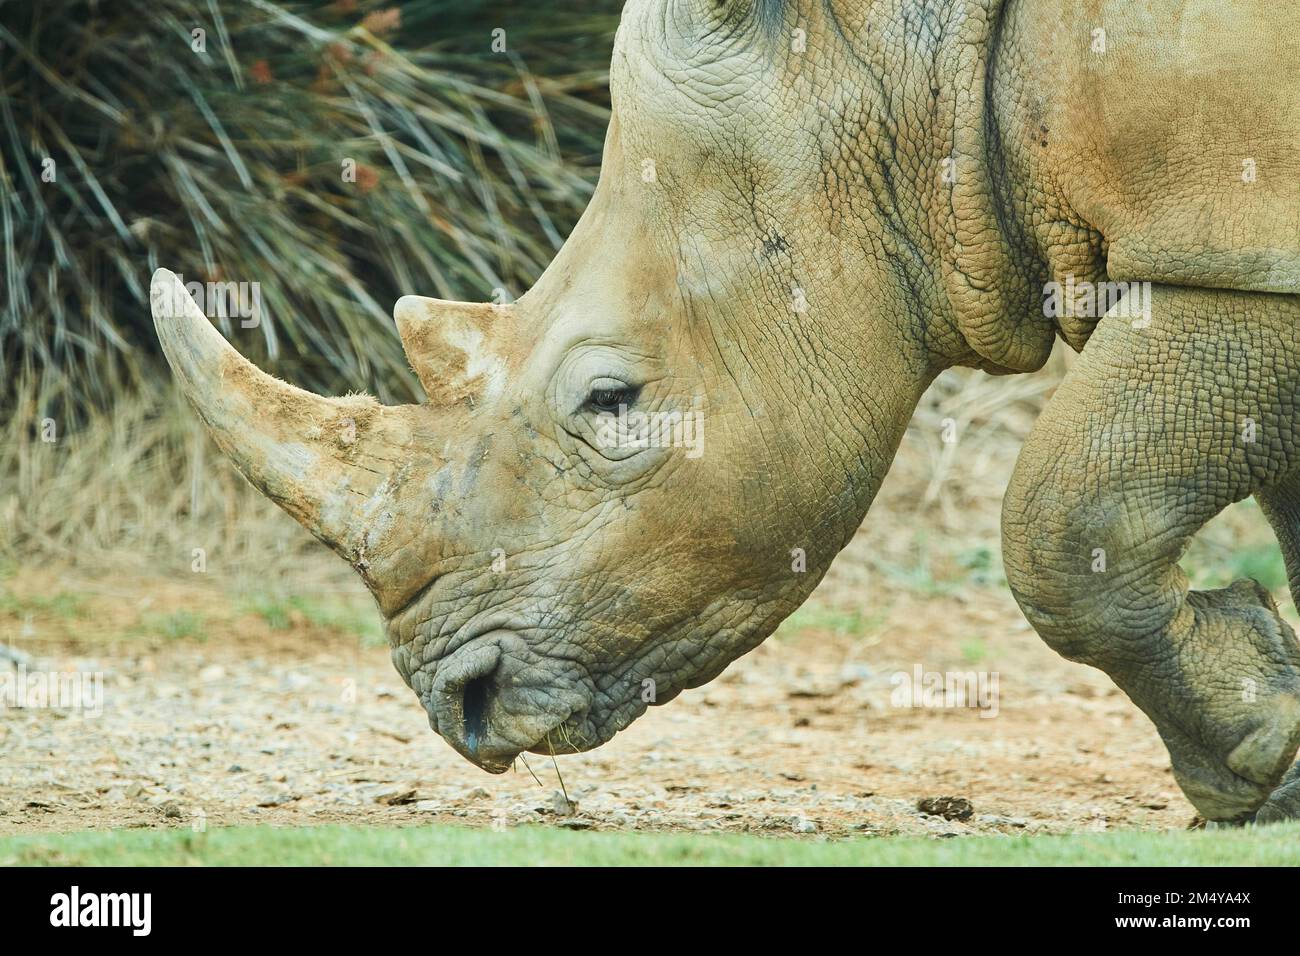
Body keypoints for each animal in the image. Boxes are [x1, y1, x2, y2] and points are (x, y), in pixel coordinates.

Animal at [151, 0, 1300, 824]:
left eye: (612, 401)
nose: (462, 701)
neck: (902, 57)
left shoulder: (1233, 250)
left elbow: (1062, 525)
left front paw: (1251, 762)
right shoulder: (1250, 248)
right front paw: (1282, 769)